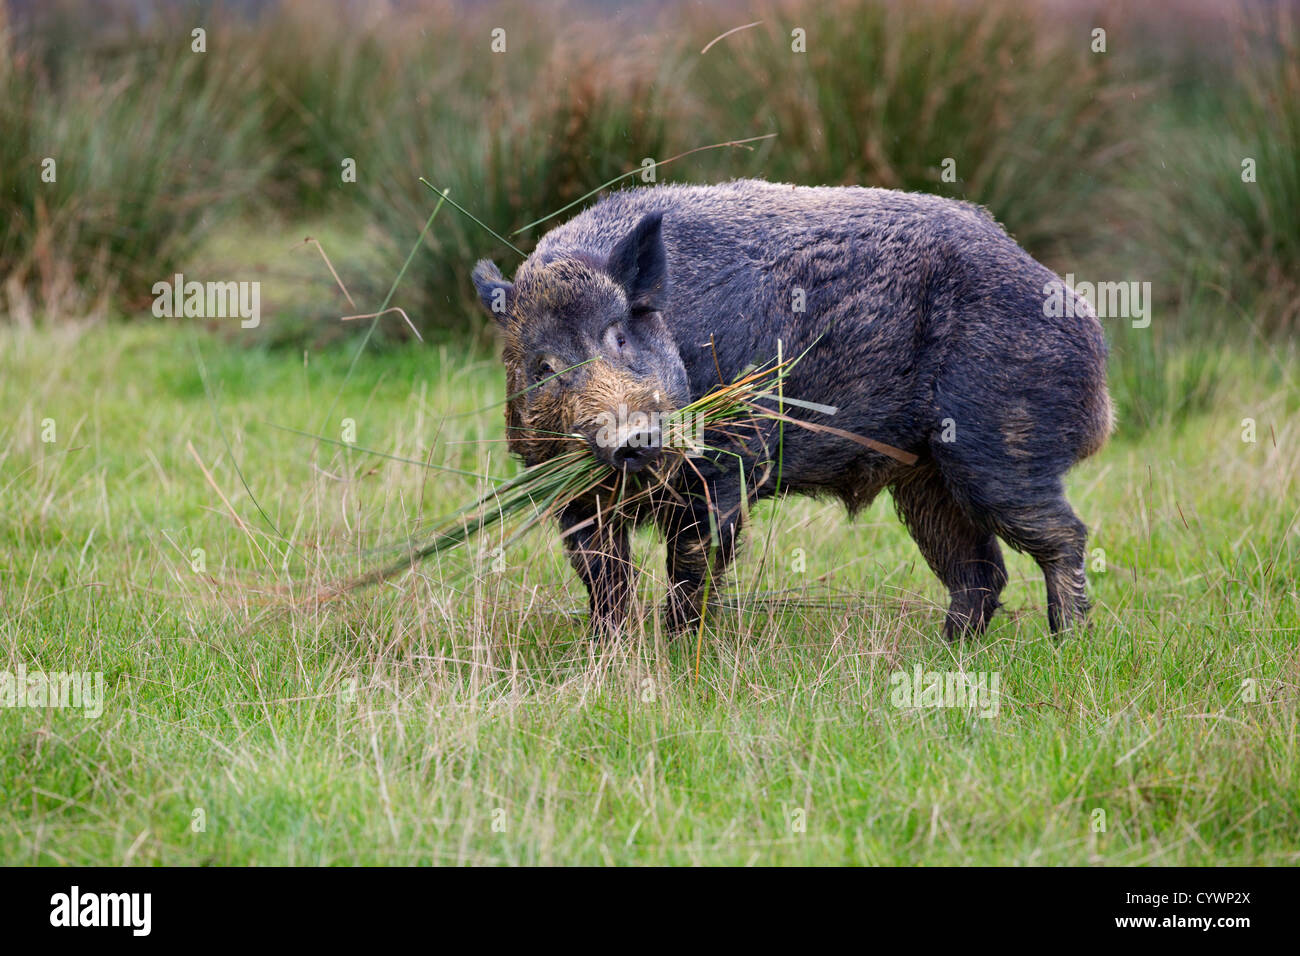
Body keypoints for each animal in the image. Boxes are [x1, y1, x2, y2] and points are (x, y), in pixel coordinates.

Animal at [472, 180, 1112, 640]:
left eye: (620, 338)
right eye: (542, 366)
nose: (630, 437)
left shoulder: (729, 461)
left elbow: (692, 562)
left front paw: (677, 647)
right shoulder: (572, 494)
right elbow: (603, 578)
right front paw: (605, 648)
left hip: (1000, 442)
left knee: (1063, 537)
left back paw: (1067, 643)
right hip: (924, 477)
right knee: (979, 570)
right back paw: (948, 649)